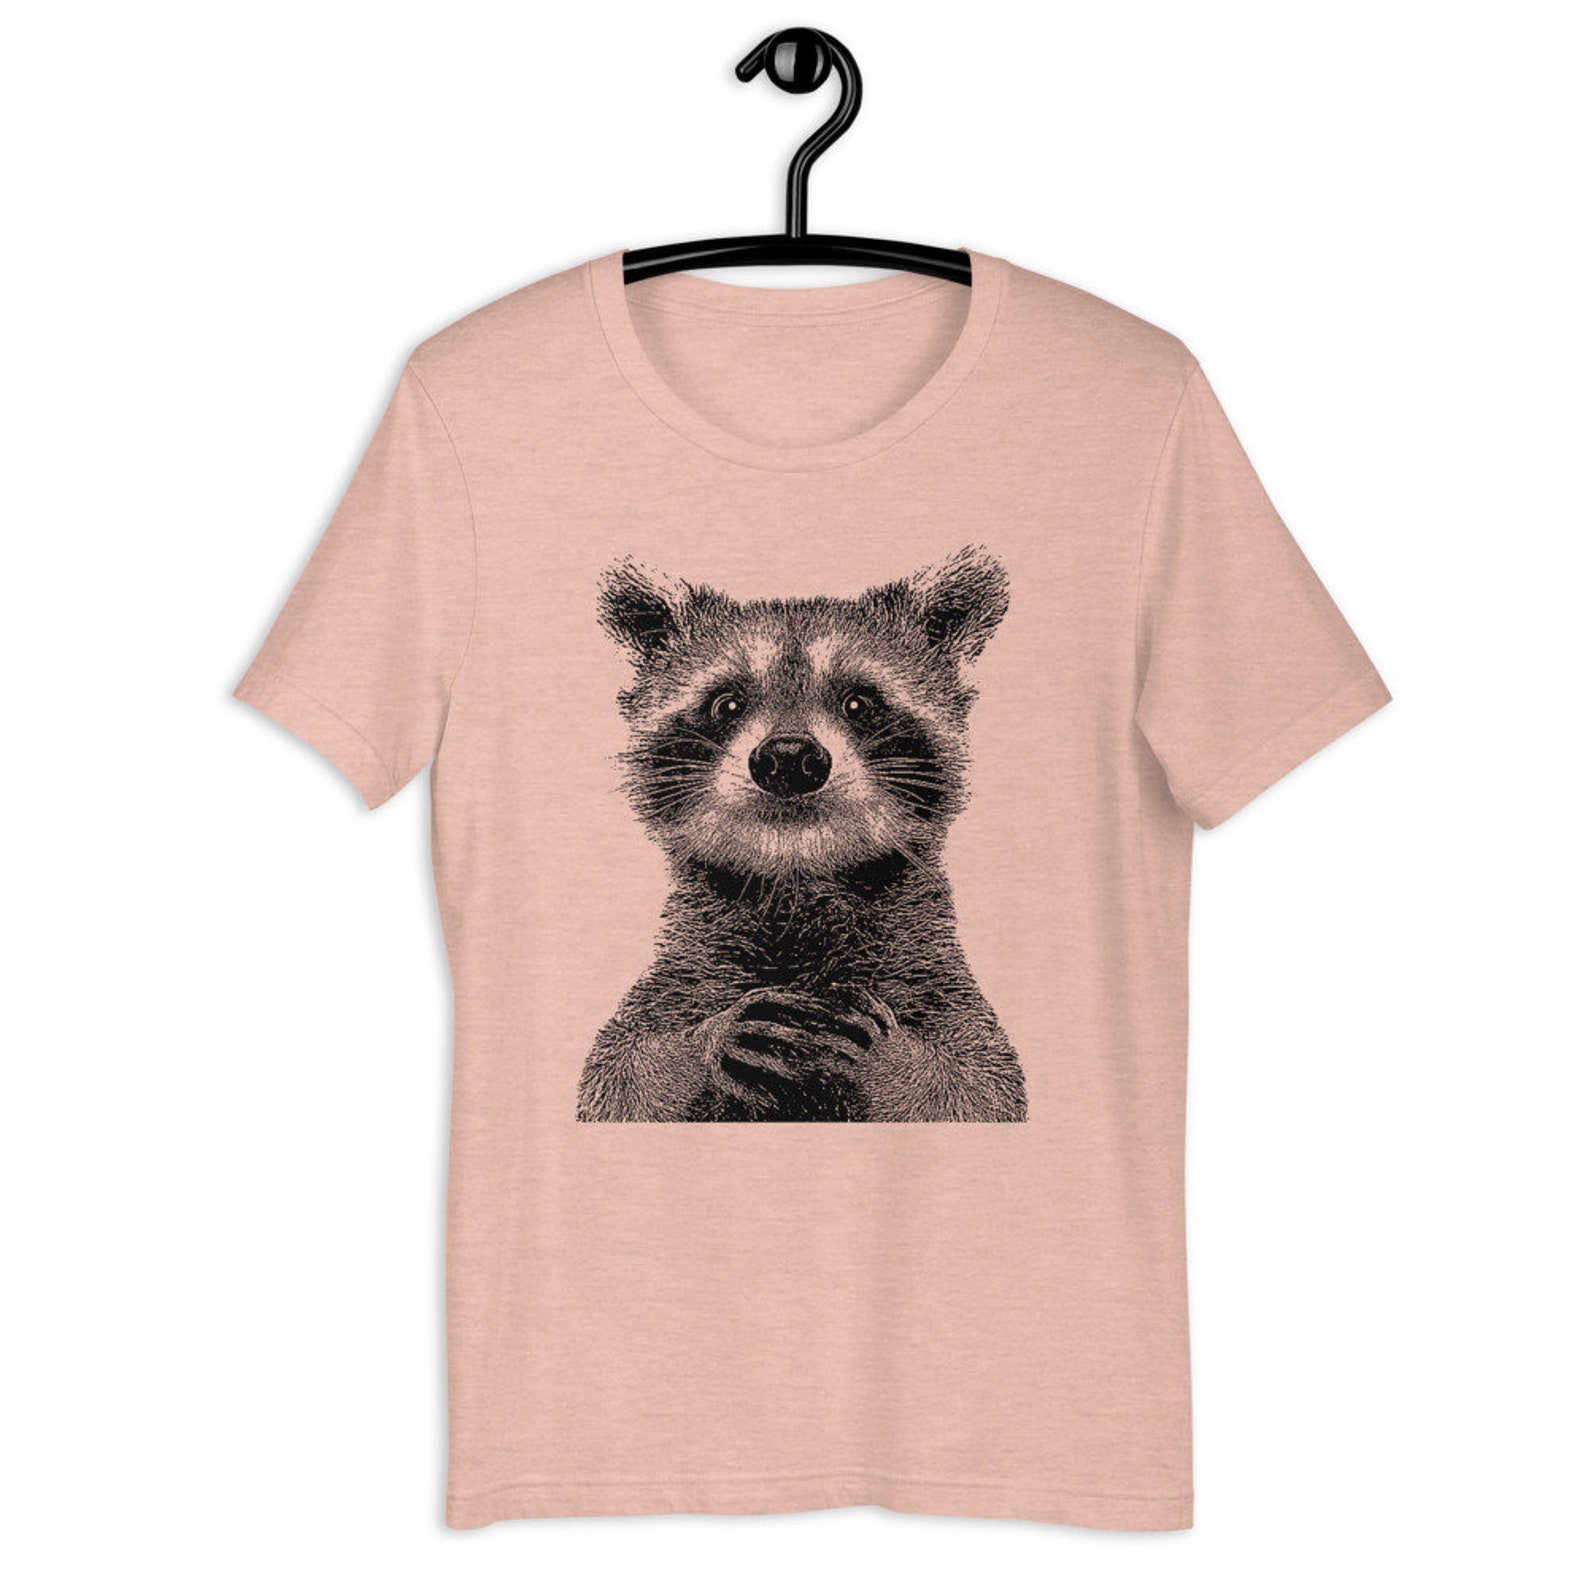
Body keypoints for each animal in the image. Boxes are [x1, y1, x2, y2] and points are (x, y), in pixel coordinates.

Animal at [577, 546, 1028, 1124]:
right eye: (726, 704)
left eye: (859, 703)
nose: (789, 757)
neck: (798, 881)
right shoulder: (681, 983)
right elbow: (618, 1077)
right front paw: (698, 1045)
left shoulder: (938, 990)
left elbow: (981, 1087)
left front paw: (897, 1063)